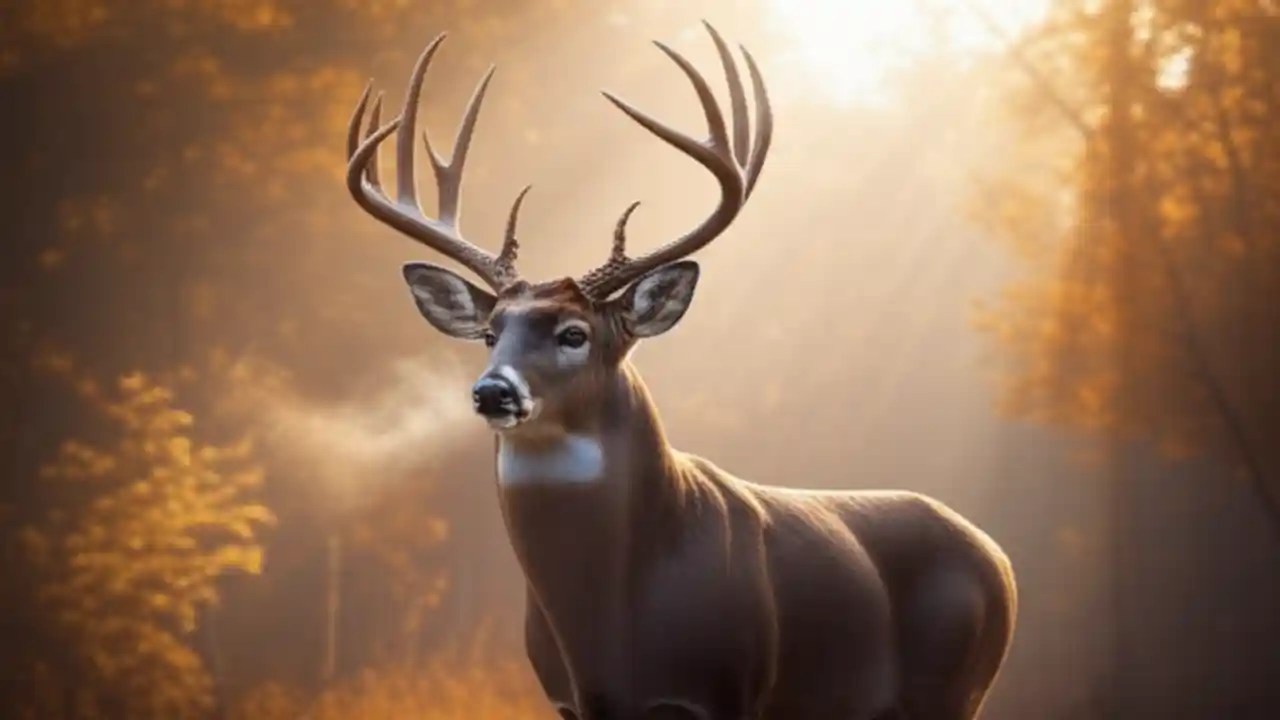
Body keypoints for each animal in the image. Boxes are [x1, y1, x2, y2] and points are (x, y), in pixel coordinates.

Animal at [345, 24, 1017, 720]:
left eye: (574, 333)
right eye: (489, 333)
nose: (492, 391)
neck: (607, 633)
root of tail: (1001, 558)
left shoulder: (730, 685)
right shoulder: (568, 700)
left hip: (955, 686)